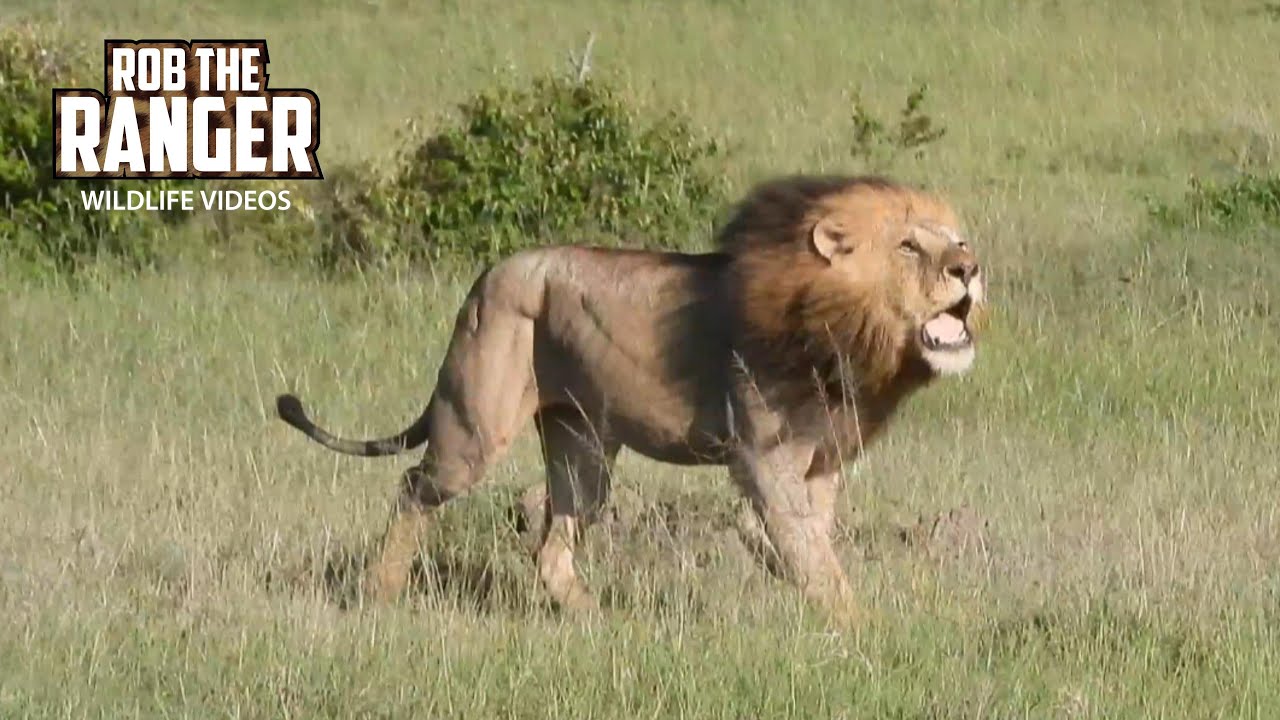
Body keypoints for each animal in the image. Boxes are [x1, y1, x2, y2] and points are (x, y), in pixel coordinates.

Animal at [275, 174, 985, 626]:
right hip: (473, 427)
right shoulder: (765, 455)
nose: (970, 269)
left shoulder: (824, 460)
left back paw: (601, 619)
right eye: (908, 246)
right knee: (413, 487)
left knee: (551, 545)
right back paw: (378, 590)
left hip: (582, 445)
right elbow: (814, 554)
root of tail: (486, 276)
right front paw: (860, 628)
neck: (849, 335)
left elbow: (805, 540)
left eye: (957, 241)